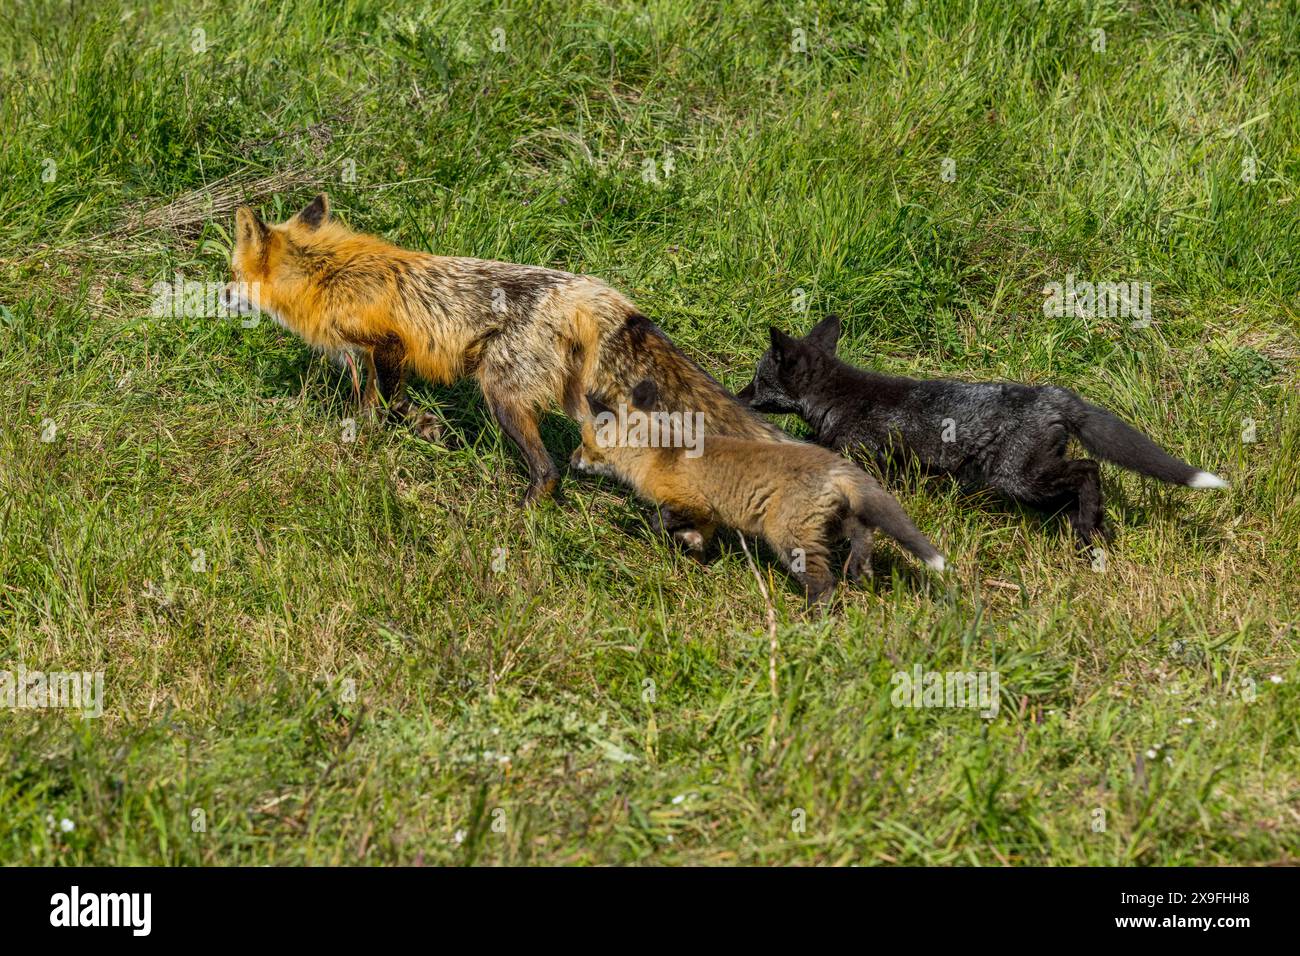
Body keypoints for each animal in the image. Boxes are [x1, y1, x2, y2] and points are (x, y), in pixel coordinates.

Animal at [223, 193, 789, 504]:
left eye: (232, 273)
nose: (221, 296)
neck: (327, 273)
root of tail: (591, 290)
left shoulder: (388, 345)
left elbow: (388, 405)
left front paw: (390, 433)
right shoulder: (371, 357)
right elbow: (383, 403)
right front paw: (407, 431)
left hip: (502, 394)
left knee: (548, 470)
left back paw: (527, 514)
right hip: (576, 397)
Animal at [570, 378, 947, 606]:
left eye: (583, 443)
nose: (573, 462)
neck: (657, 455)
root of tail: (834, 464)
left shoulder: (692, 501)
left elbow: (657, 520)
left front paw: (672, 536)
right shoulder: (709, 515)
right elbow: (695, 537)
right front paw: (694, 552)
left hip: (787, 536)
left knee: (824, 583)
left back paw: (813, 618)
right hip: (837, 523)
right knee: (862, 538)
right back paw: (861, 571)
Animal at [737, 314, 1229, 546]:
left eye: (758, 380)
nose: (737, 396)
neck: (838, 397)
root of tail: (1054, 396)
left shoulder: (864, 456)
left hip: (1017, 479)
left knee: (1089, 469)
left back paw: (1089, 524)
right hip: (1031, 480)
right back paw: (1090, 527)